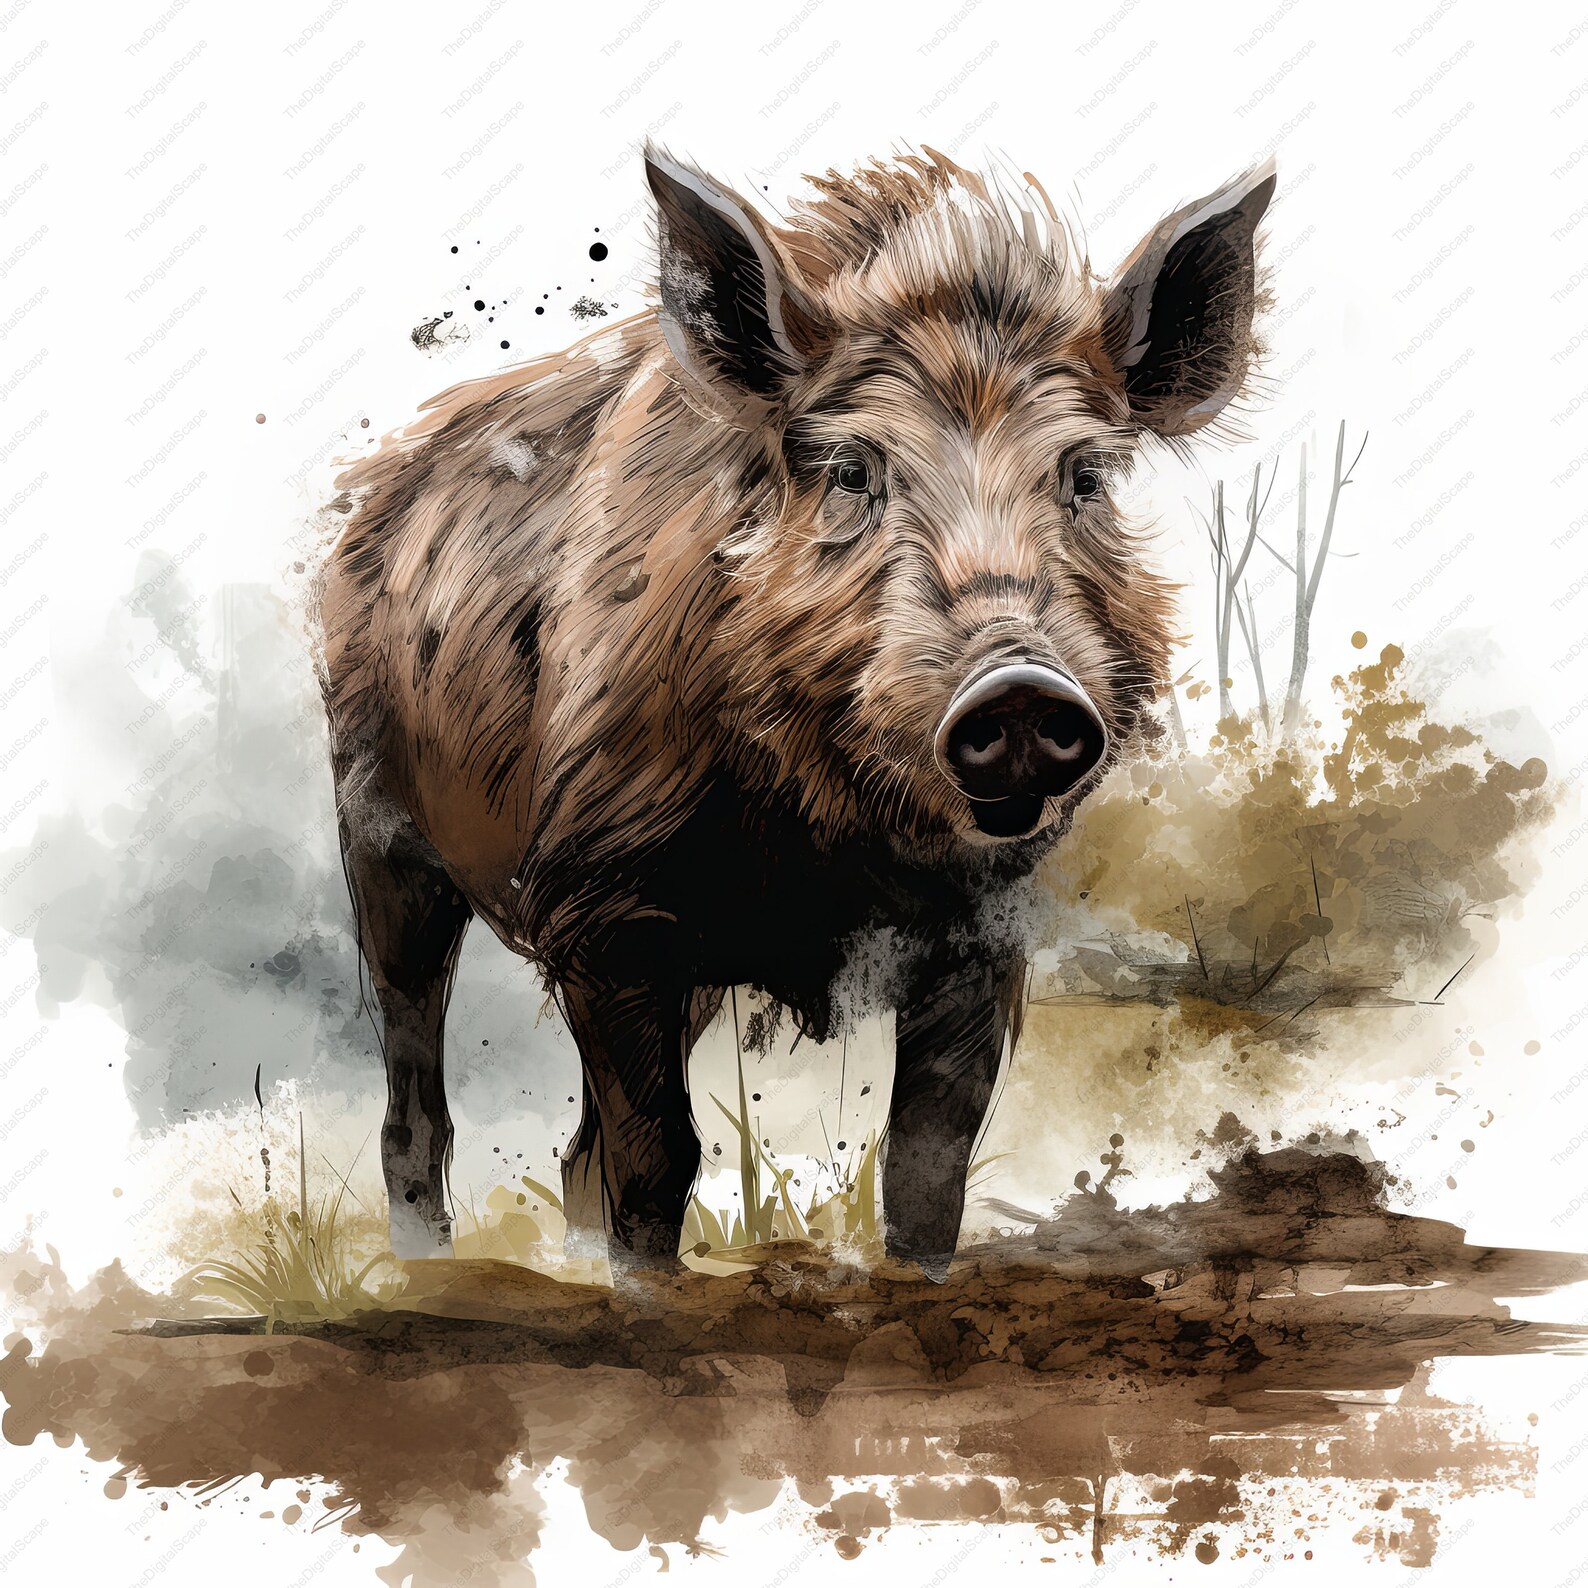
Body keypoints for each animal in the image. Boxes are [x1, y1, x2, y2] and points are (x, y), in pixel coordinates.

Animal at [316, 145, 1274, 1278]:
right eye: (852, 470)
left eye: (1083, 477)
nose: (1018, 687)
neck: (825, 847)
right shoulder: (603, 904)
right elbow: (659, 1158)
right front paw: (646, 1295)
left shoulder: (986, 928)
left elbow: (928, 1164)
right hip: (377, 828)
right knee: (416, 1084)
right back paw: (419, 1266)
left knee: (573, 1153)